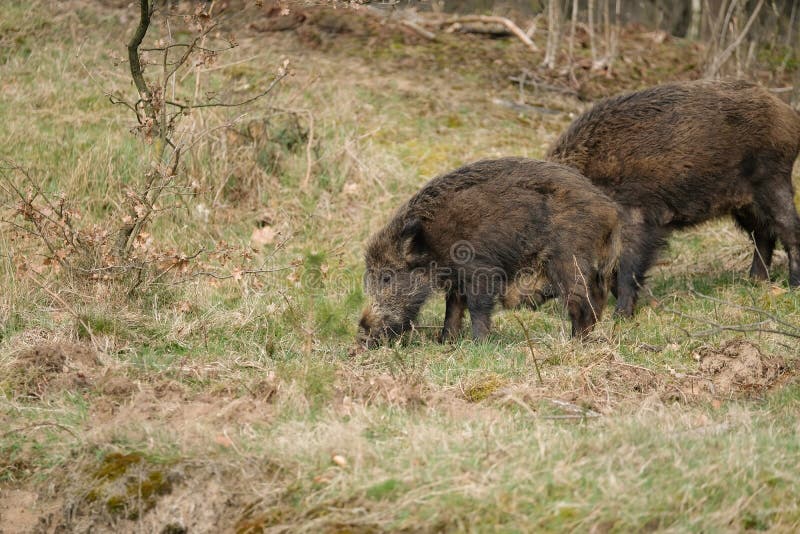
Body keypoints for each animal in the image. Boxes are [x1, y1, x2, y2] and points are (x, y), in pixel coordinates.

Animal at [357, 157, 621, 348]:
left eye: (387, 277)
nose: (363, 329)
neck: (431, 245)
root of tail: (609, 210)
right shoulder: (457, 279)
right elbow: (453, 308)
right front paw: (445, 342)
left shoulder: (481, 269)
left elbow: (477, 306)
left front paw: (479, 345)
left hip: (567, 257)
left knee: (581, 299)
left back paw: (575, 342)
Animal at [547, 79, 800, 317]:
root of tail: (788, 115)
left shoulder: (637, 218)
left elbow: (627, 267)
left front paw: (621, 316)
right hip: (743, 203)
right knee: (763, 235)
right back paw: (754, 282)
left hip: (772, 181)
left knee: (789, 230)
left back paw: (792, 285)